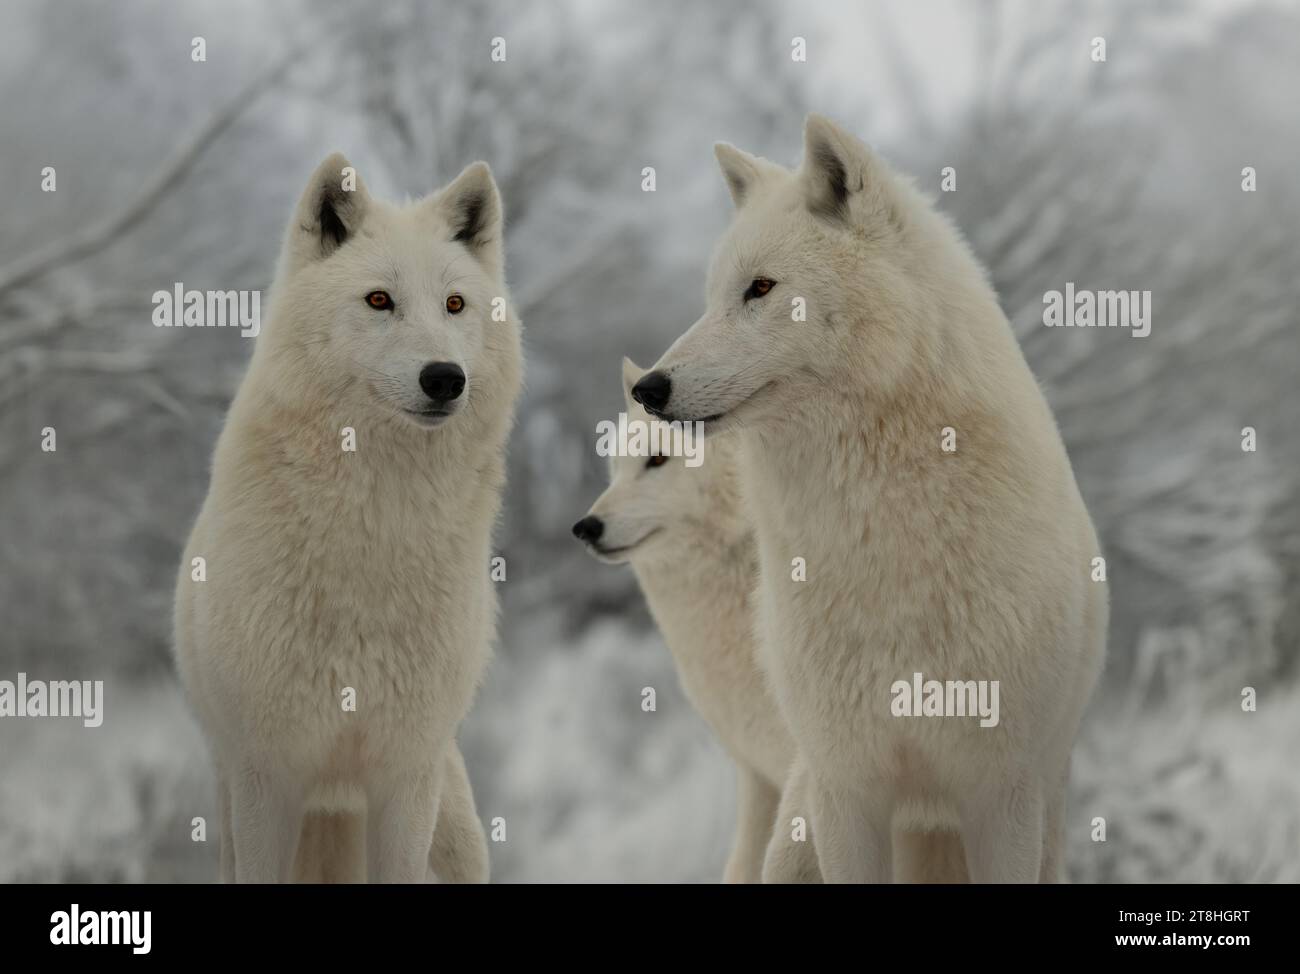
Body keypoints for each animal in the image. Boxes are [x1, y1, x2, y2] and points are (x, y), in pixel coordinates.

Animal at [173, 152, 522, 882]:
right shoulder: (266, 777)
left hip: (451, 822)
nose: (445, 378)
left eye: (455, 304)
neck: (376, 526)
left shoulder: (405, 777)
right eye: (379, 300)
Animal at [574, 360, 967, 883]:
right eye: (614, 469)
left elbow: (781, 863)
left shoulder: (819, 768)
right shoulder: (758, 776)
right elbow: (743, 866)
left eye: (657, 460)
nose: (586, 528)